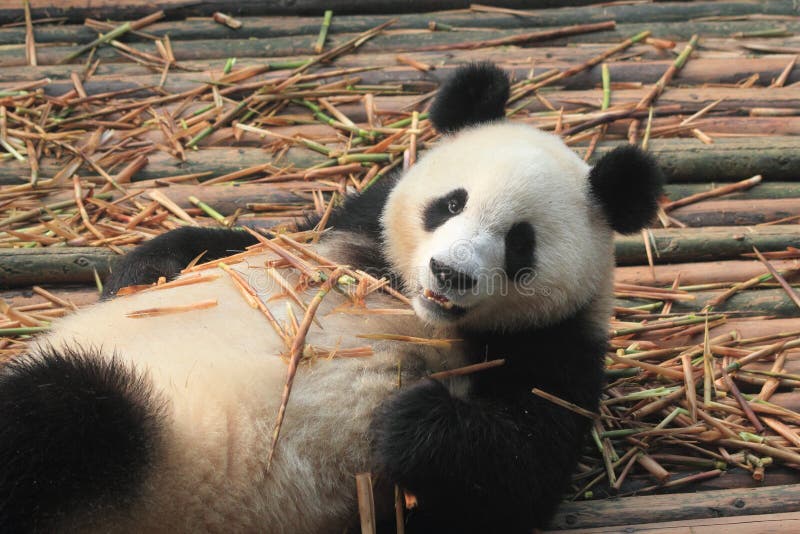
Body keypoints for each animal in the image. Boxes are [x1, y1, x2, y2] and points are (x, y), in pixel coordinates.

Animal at [0, 63, 663, 533]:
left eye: (520, 243)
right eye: (451, 203)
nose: (449, 273)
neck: (406, 301)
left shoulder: (558, 344)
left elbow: (520, 470)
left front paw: (410, 420)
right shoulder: (345, 234)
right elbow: (251, 243)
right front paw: (144, 271)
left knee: (68, 413)